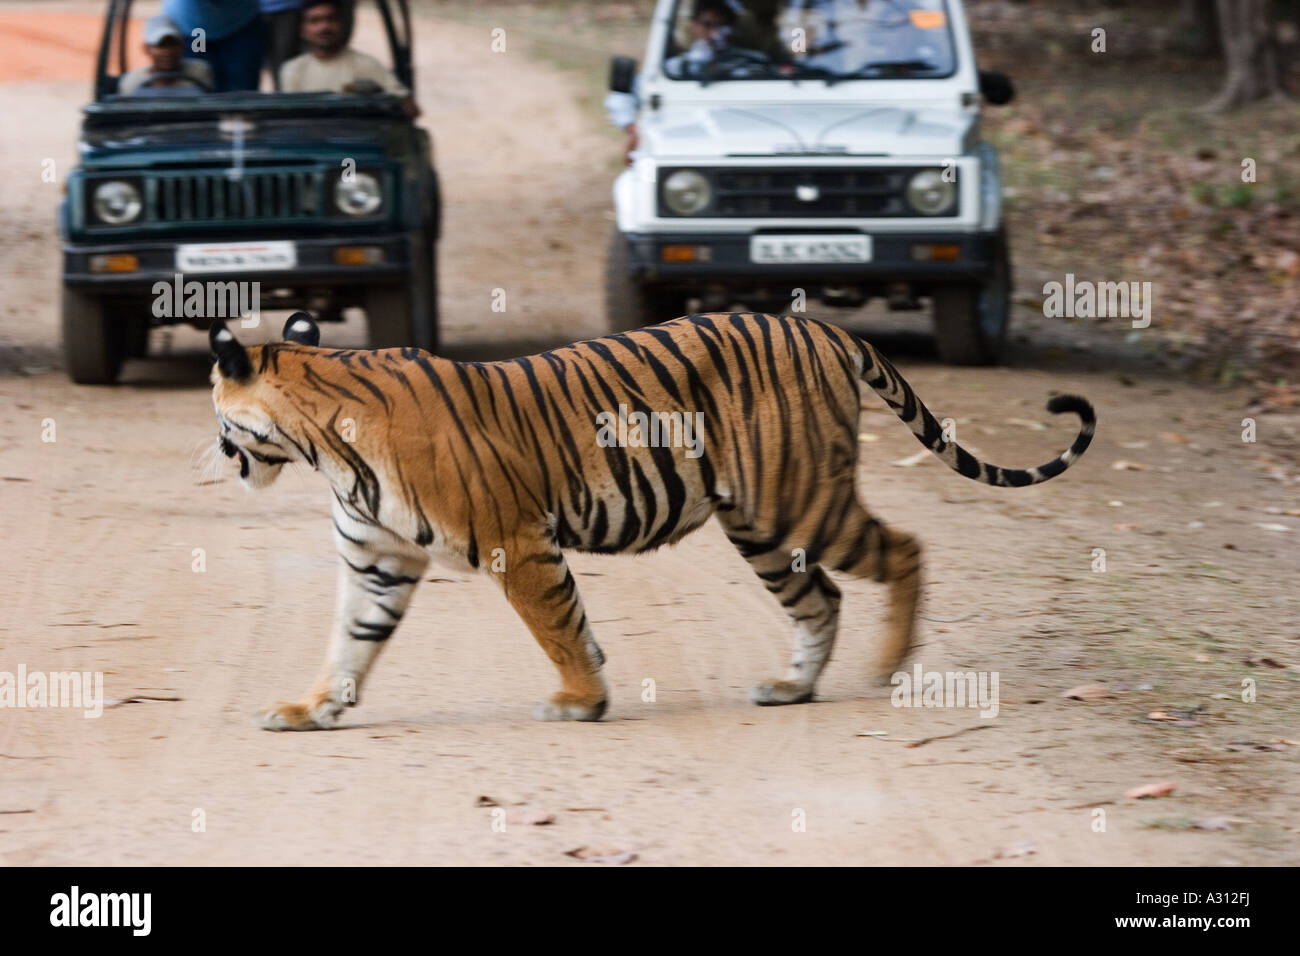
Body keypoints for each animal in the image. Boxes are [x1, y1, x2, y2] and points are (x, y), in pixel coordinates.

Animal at [209, 310, 1095, 731]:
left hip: (799, 502)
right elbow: (349, 645)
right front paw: (310, 710)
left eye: (218, 411)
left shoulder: (516, 542)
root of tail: (816, 323)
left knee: (904, 549)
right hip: (761, 526)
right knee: (822, 601)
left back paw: (887, 667)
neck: (321, 443)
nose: (214, 447)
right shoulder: (378, 562)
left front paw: (579, 699)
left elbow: (558, 626)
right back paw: (792, 687)